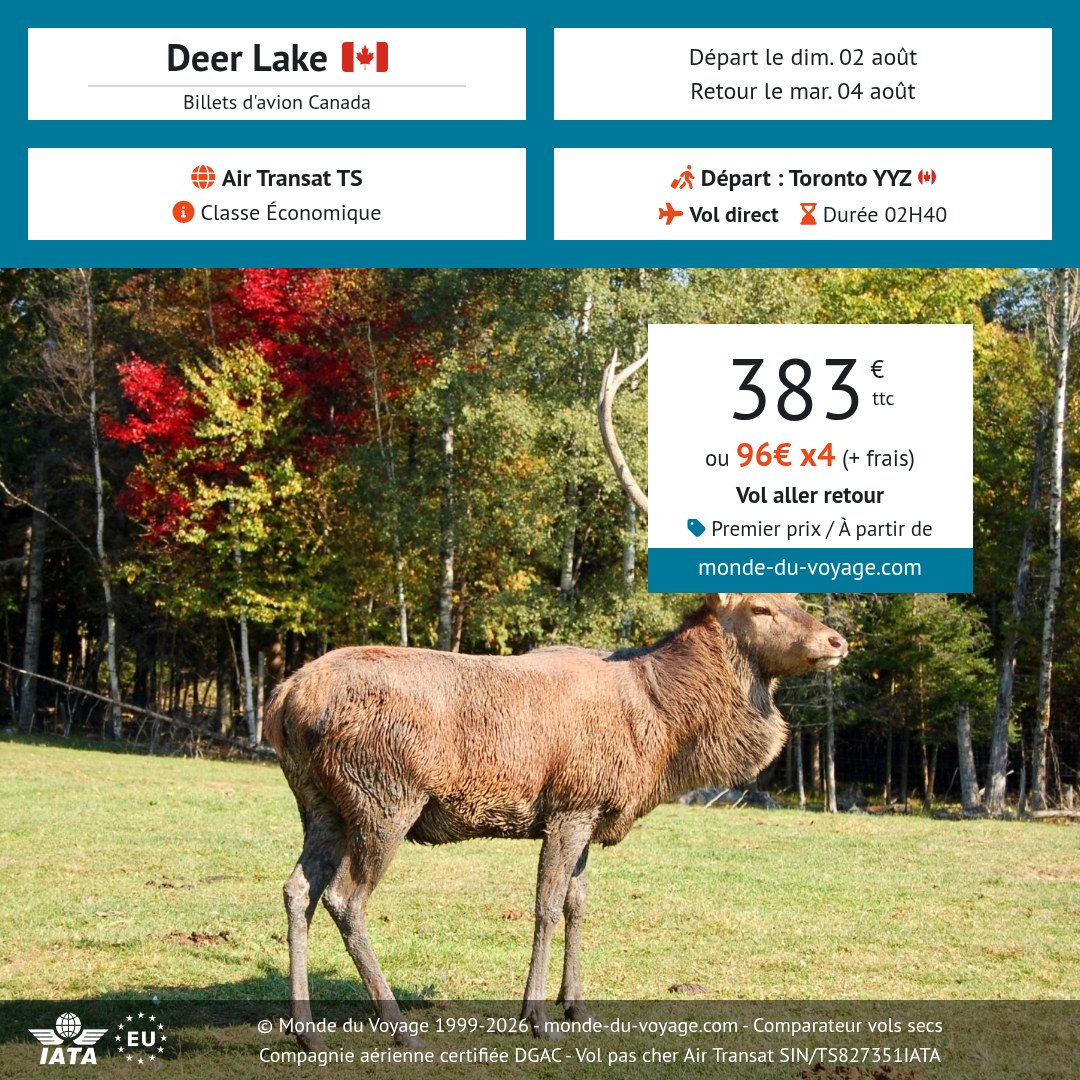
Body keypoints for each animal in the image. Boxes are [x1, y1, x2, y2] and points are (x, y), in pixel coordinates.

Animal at [265, 349, 848, 1048]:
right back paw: (398, 1024)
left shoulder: (595, 810)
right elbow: (544, 904)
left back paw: (304, 1027)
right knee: (344, 896)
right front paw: (537, 1014)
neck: (658, 727)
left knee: (297, 885)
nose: (837, 639)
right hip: (384, 794)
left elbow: (578, 902)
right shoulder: (572, 802)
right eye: (762, 607)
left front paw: (579, 1007)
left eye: (796, 595)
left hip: (318, 798)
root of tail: (283, 698)